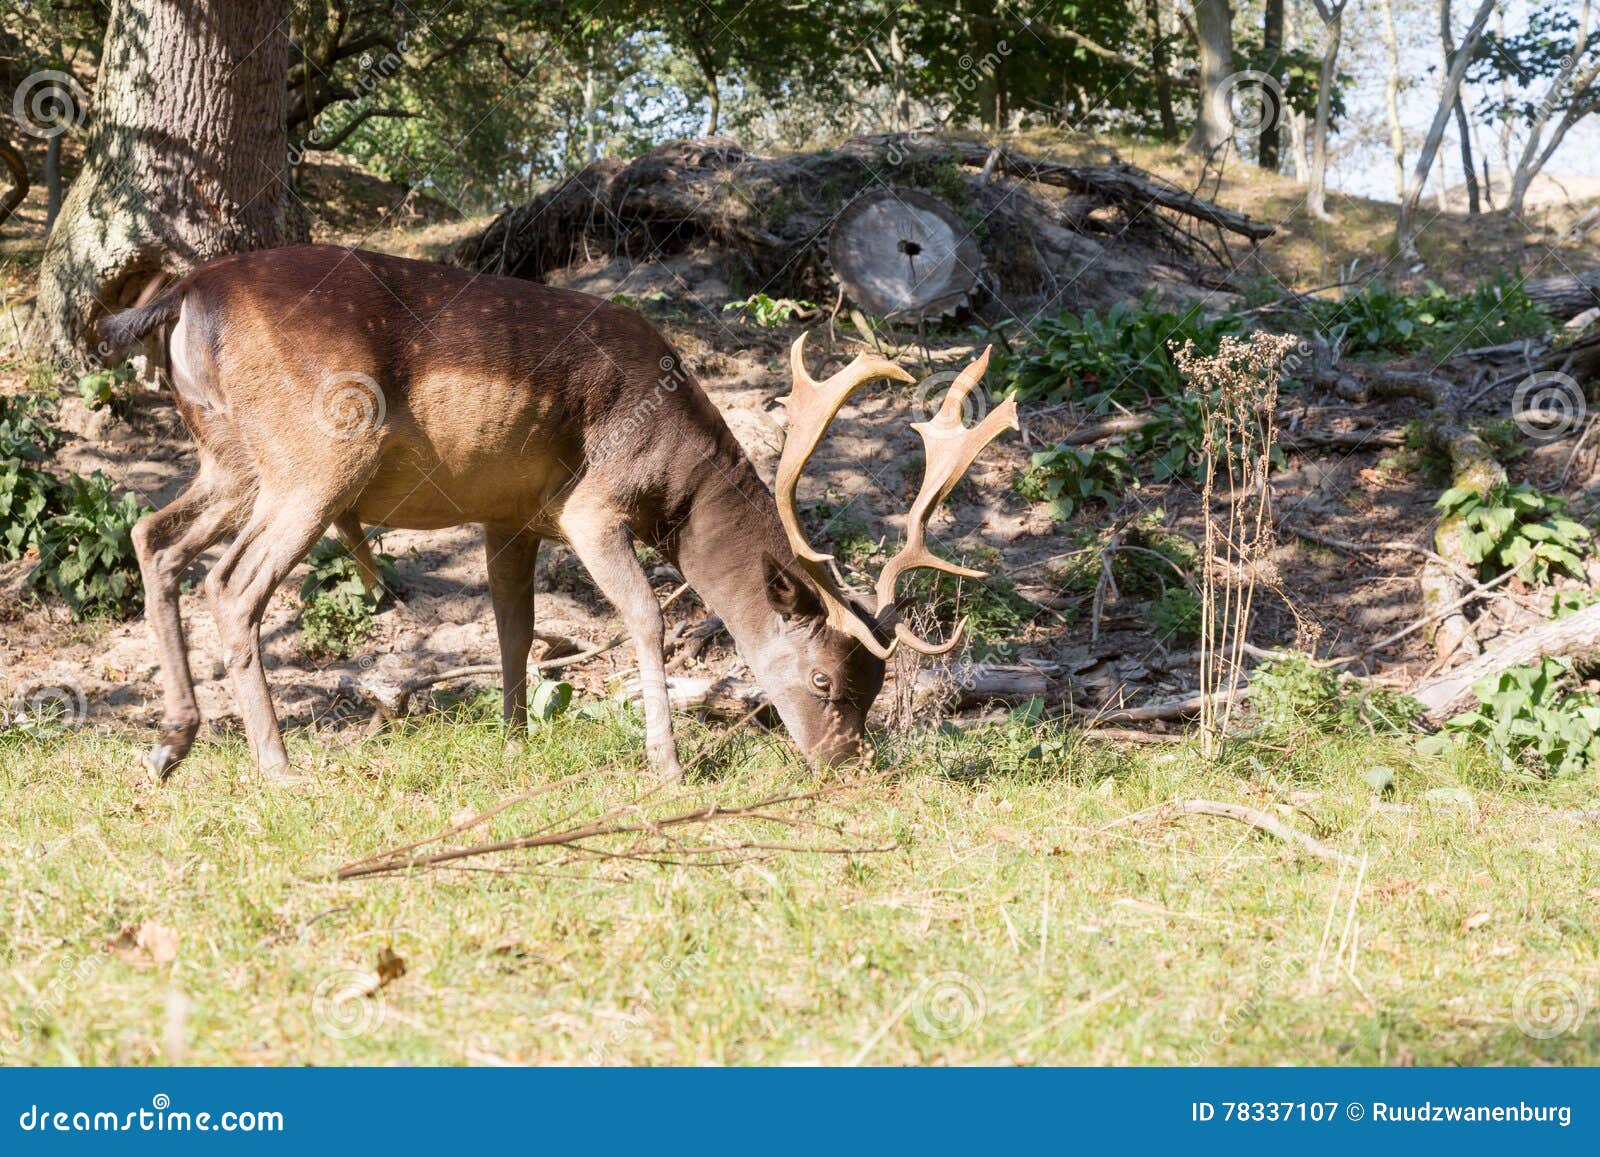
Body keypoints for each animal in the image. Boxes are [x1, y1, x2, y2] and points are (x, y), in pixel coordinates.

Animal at [95, 245, 1016, 784]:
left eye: (875, 684)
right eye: (826, 679)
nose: (844, 761)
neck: (675, 475)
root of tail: (185, 293)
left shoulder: (508, 517)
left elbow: (517, 627)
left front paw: (513, 744)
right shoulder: (590, 506)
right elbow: (645, 616)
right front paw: (667, 765)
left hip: (229, 456)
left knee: (153, 537)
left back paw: (169, 744)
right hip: (315, 457)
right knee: (231, 582)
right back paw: (280, 767)